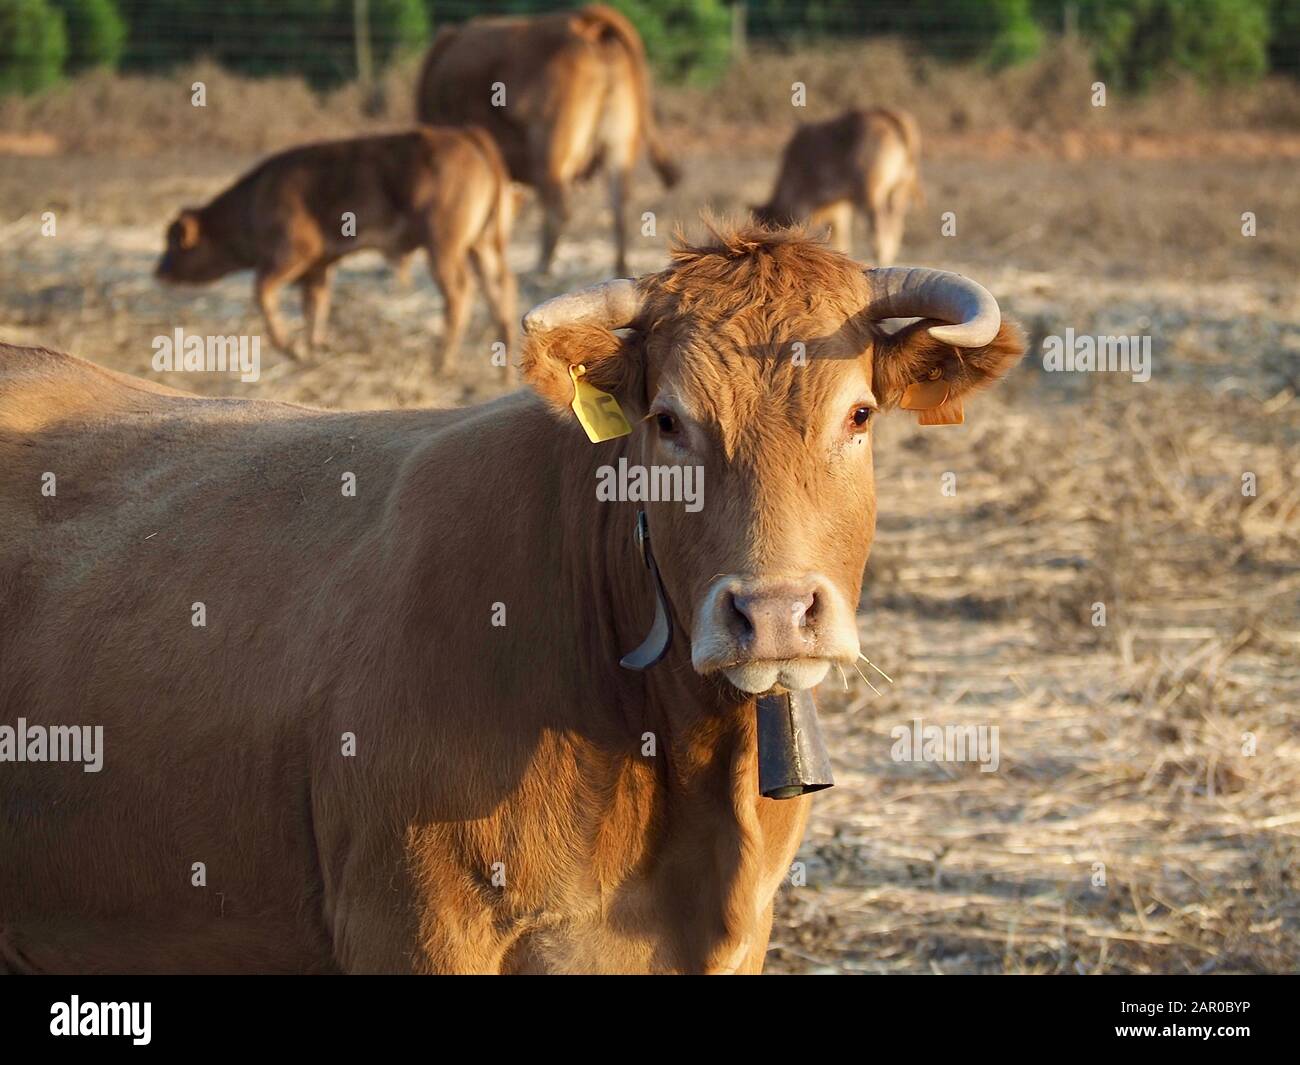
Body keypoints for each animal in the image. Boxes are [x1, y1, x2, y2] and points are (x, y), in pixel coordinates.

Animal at [155, 127, 516, 378]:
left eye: (174, 242)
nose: (159, 270)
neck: (256, 197)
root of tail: (465, 135)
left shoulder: (291, 256)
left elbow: (263, 291)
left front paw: (292, 348)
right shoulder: (318, 266)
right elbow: (315, 304)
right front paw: (316, 347)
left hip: (443, 246)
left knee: (459, 294)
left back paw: (443, 363)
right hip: (480, 246)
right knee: (498, 291)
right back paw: (504, 368)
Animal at [415, 4, 681, 277]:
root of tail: (585, 22)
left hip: (549, 145)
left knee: (558, 209)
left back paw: (541, 269)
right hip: (617, 144)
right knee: (619, 206)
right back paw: (620, 268)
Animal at [752, 108, 923, 266]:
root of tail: (887, 114)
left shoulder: (802, 207)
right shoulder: (840, 209)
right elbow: (840, 237)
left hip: (870, 192)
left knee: (879, 225)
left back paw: (881, 256)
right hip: (899, 190)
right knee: (896, 223)